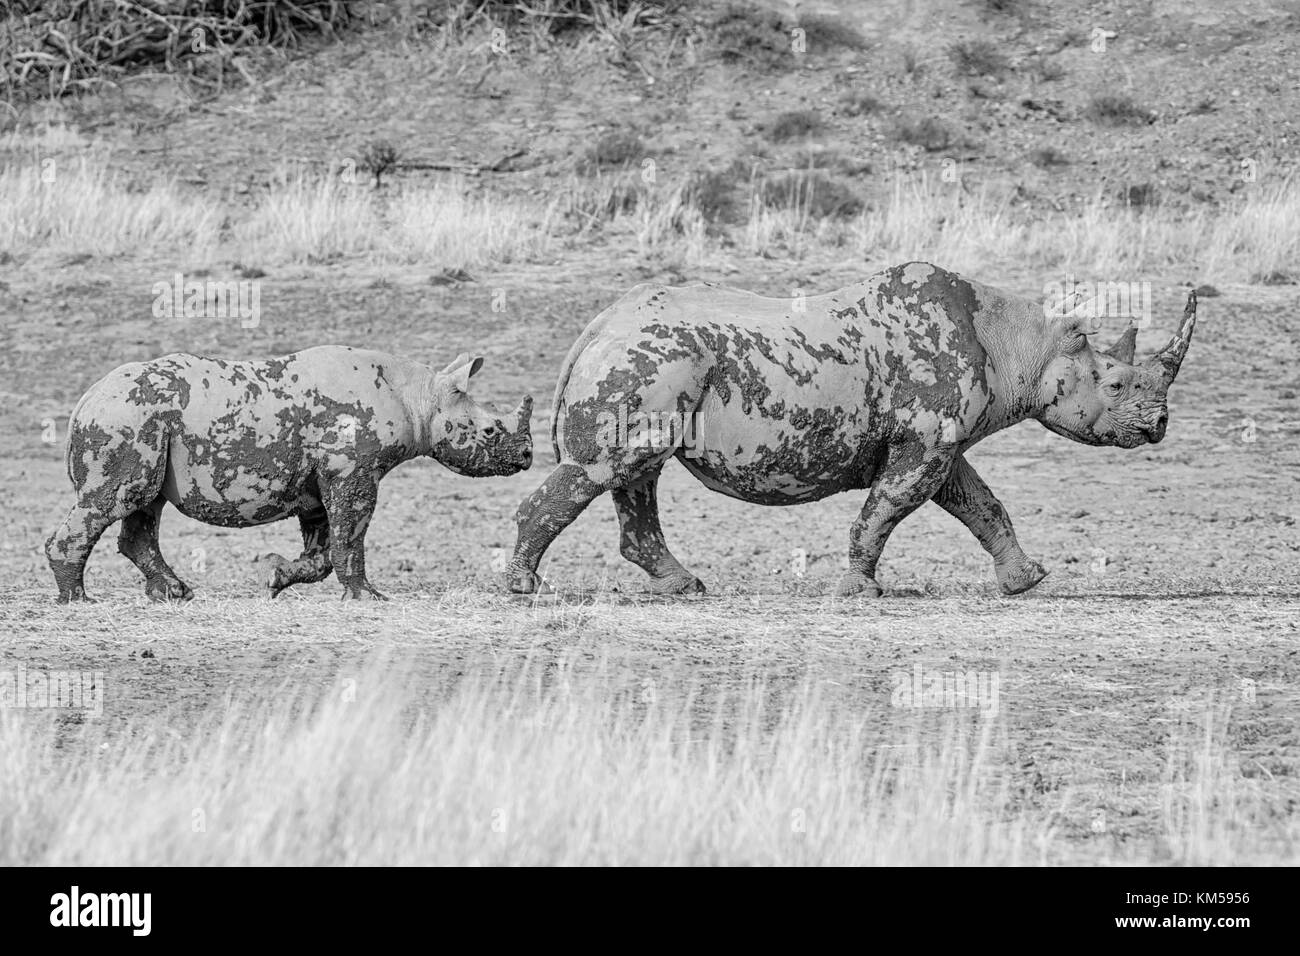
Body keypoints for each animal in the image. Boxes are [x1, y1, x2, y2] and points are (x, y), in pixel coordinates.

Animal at [47, 348, 533, 602]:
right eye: (491, 431)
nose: (527, 458)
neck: (419, 398)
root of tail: (86, 397)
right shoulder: (353, 473)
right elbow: (351, 537)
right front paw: (368, 597)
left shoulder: (321, 482)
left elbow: (324, 551)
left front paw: (276, 577)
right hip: (125, 418)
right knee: (116, 500)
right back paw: (79, 601)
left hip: (142, 422)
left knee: (145, 506)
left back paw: (175, 593)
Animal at [504, 262, 1196, 597]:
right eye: (1115, 386)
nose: (1159, 425)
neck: (1021, 345)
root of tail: (597, 324)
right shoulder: (926, 441)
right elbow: (889, 506)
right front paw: (860, 590)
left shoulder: (941, 443)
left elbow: (980, 503)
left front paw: (1027, 582)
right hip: (646, 362)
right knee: (611, 468)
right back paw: (524, 590)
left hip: (647, 364)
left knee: (637, 475)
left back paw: (683, 588)